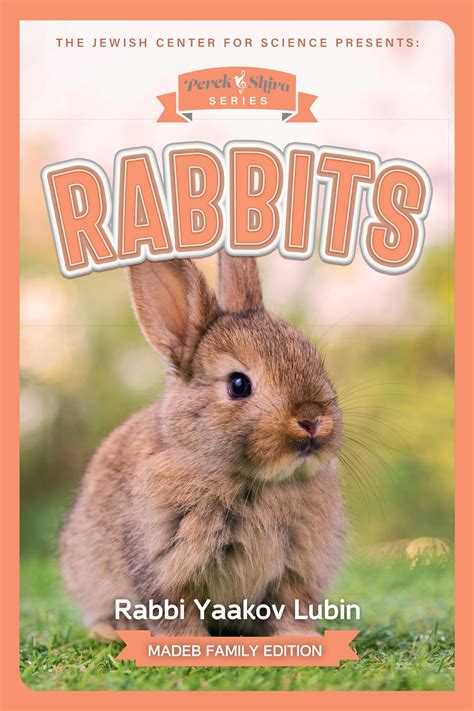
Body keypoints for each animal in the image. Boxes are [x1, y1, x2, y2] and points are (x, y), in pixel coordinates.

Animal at [60, 251, 344, 640]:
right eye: (238, 384)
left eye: (314, 359)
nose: (313, 419)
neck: (251, 480)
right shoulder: (165, 564)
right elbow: (177, 611)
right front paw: (190, 644)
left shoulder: (297, 569)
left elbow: (290, 606)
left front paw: (300, 640)